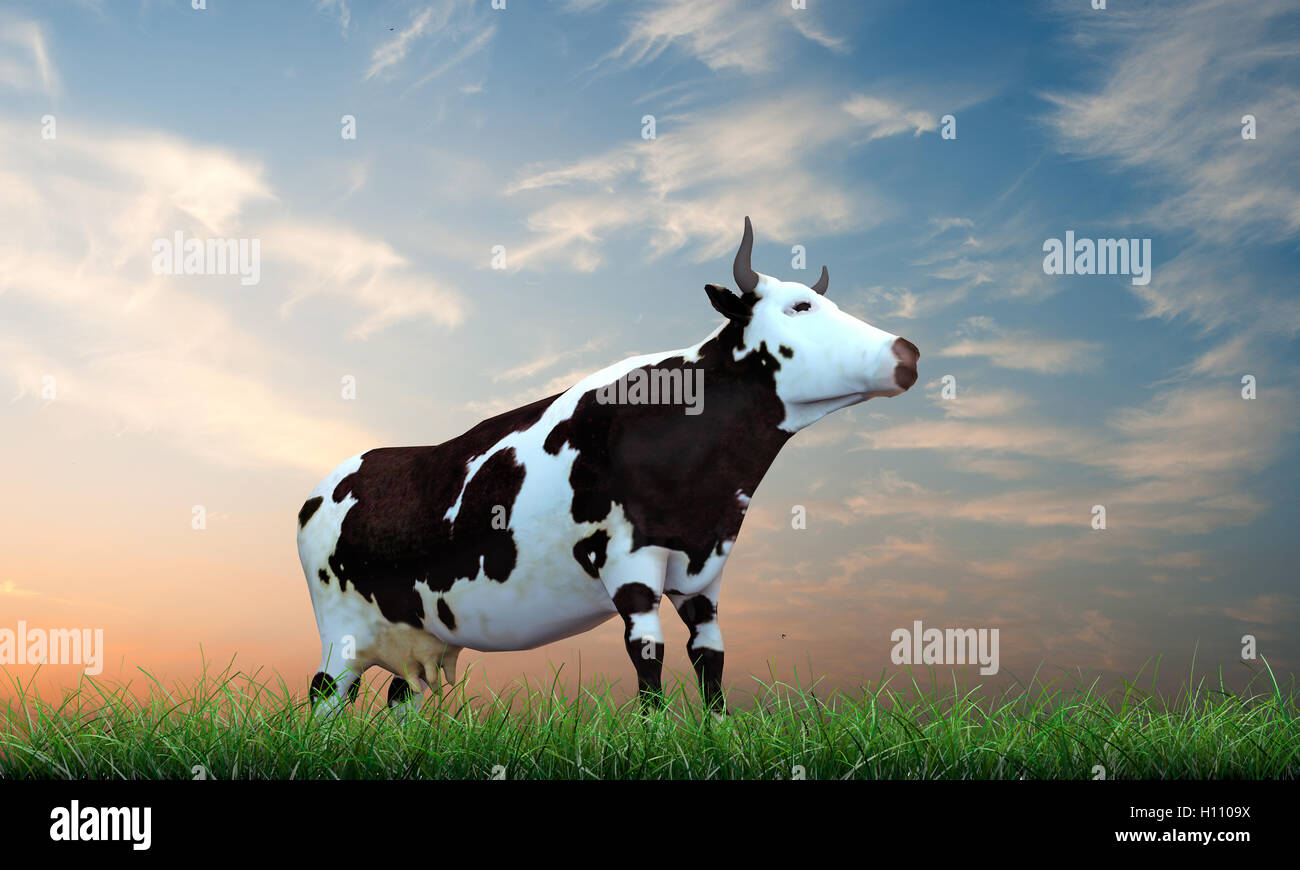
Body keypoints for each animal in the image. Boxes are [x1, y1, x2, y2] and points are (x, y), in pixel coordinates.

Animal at [296, 217, 919, 715]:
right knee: (326, 691)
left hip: (412, 632)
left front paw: (719, 729)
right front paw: (654, 733)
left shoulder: (705, 571)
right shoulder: (626, 557)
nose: (908, 353)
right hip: (341, 627)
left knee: (402, 694)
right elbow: (647, 652)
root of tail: (321, 491)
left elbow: (709, 655)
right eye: (799, 306)